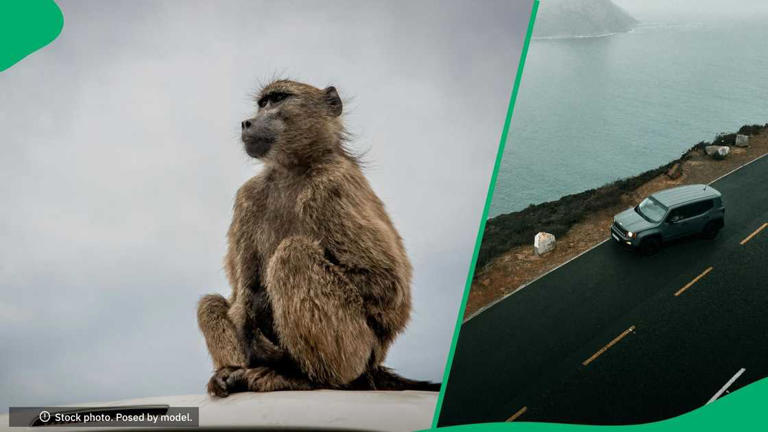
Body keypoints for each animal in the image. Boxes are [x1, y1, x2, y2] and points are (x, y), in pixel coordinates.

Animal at [197, 79, 440, 396]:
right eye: (262, 103)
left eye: (278, 99)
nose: (247, 122)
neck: (292, 169)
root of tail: (373, 364)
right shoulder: (246, 199)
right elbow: (240, 292)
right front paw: (249, 314)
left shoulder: (330, 185)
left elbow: (386, 285)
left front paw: (260, 308)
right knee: (211, 303)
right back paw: (231, 372)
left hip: (356, 350)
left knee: (293, 254)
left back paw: (303, 377)